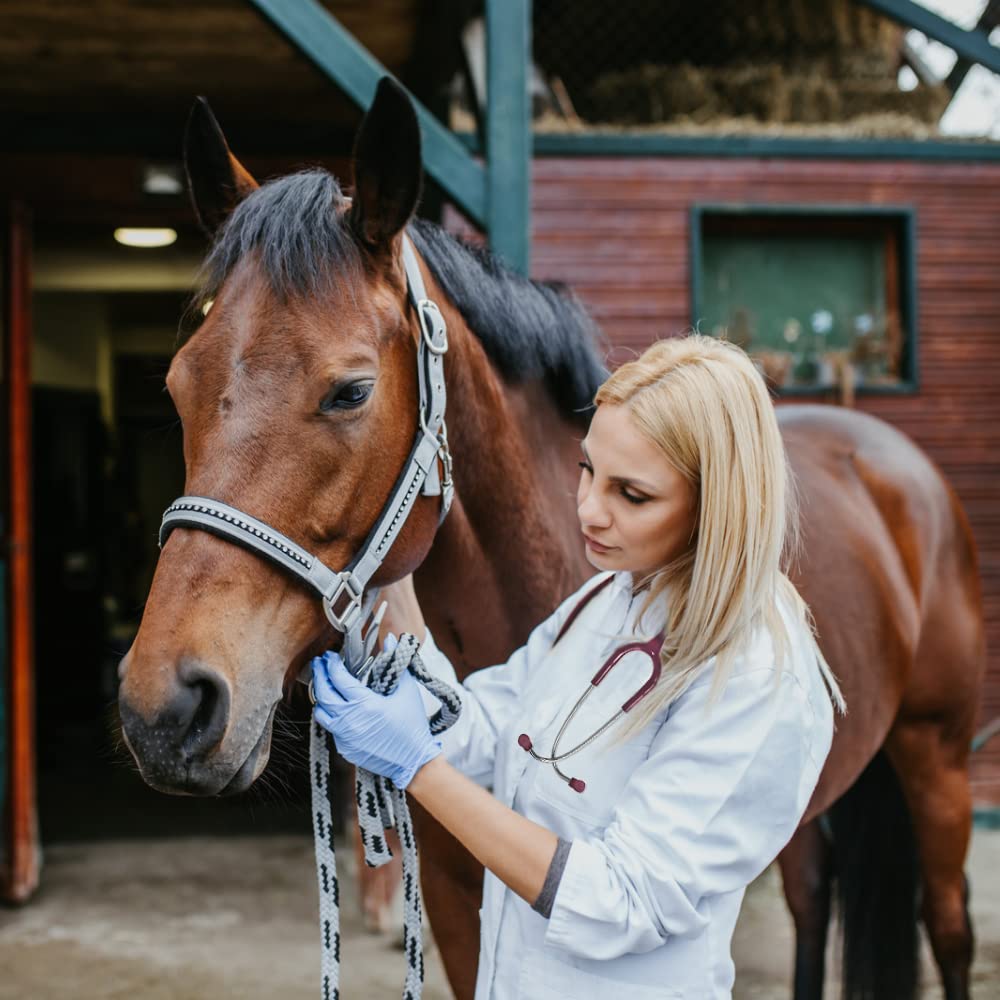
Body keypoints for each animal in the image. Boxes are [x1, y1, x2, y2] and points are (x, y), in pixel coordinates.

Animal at [116, 79, 984, 1000]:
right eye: (177, 384)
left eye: (350, 391)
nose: (164, 709)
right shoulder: (453, 896)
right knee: (814, 898)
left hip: (936, 760)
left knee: (949, 924)